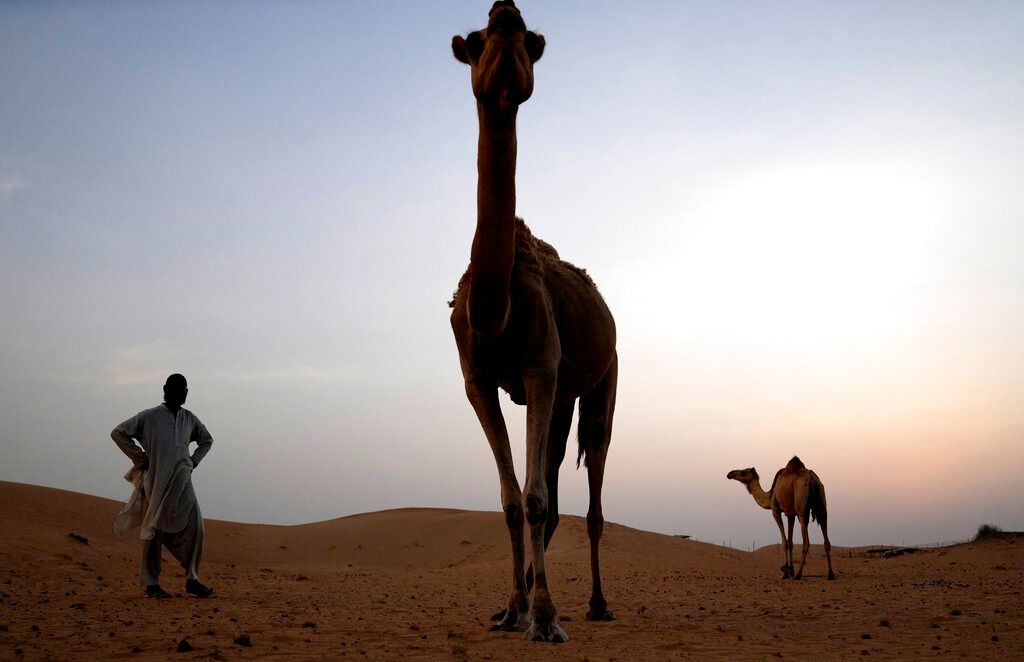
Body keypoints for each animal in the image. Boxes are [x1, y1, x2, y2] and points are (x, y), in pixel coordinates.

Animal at [449, 0, 618, 643]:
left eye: (530, 41)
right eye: (474, 42)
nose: (505, 11)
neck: (494, 311)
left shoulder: (540, 369)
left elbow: (537, 498)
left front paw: (545, 617)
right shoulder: (479, 381)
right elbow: (513, 500)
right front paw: (512, 609)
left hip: (603, 378)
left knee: (593, 479)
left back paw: (595, 604)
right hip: (563, 393)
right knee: (551, 482)